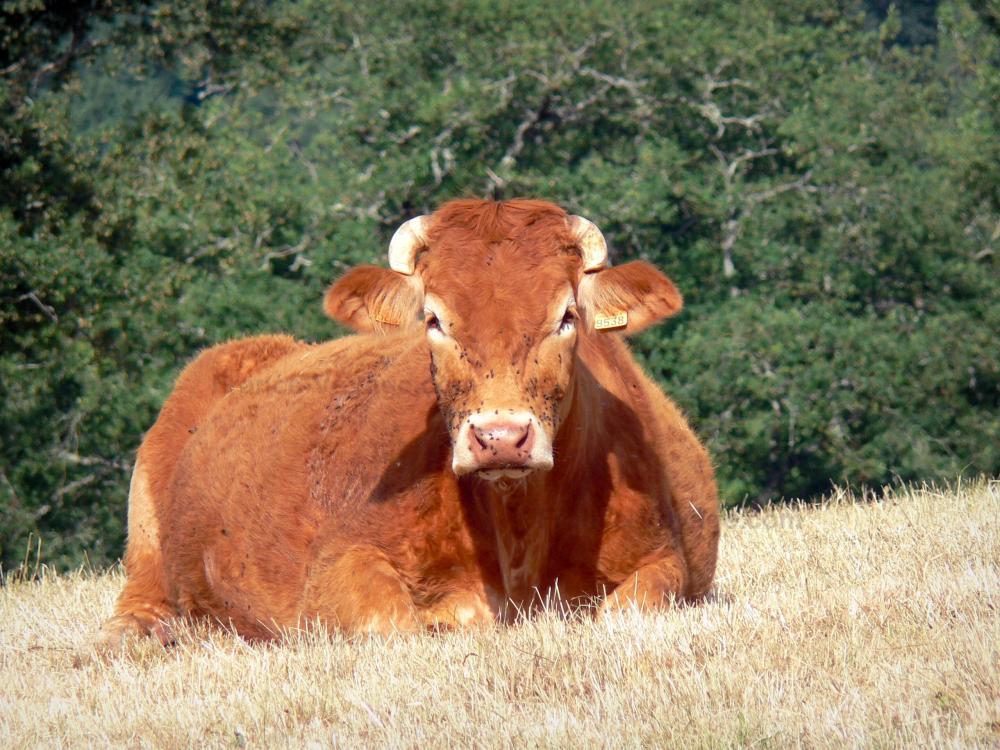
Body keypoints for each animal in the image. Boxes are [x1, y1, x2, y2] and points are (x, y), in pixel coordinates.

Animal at [96, 198, 719, 647]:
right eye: (434, 320)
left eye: (567, 316)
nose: (499, 438)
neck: (515, 529)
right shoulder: (336, 566)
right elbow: (391, 623)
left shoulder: (666, 560)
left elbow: (629, 609)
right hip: (147, 539)